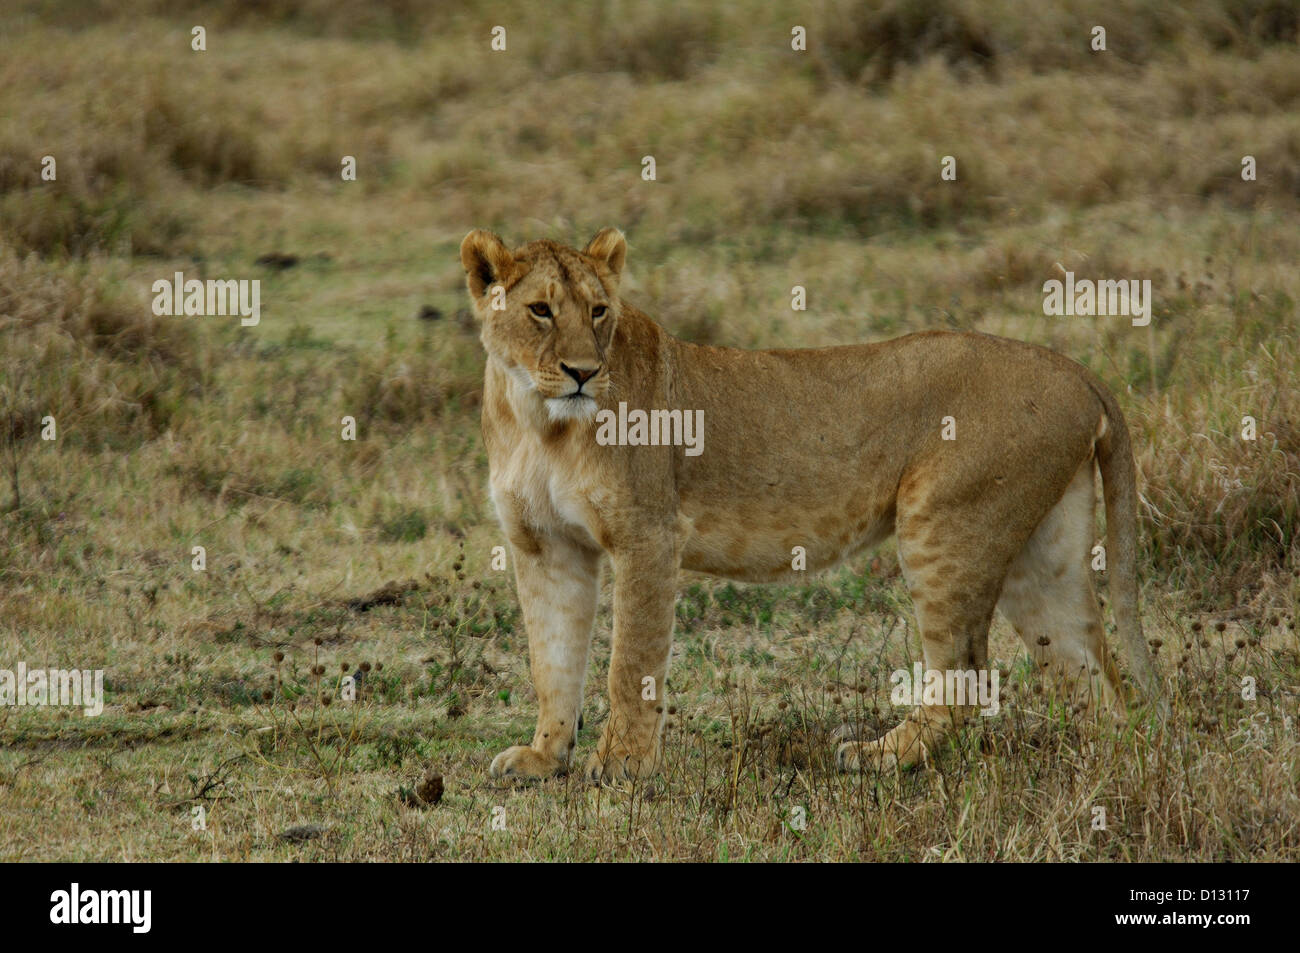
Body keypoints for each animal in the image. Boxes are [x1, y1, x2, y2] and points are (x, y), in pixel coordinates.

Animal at [459, 226, 1163, 782]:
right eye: (541, 310)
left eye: (600, 310)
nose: (583, 372)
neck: (538, 422)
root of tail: (1074, 370)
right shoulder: (545, 545)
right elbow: (551, 657)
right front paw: (544, 758)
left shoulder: (649, 534)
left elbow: (629, 659)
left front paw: (622, 765)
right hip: (1041, 556)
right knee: (1093, 674)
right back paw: (1107, 771)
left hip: (943, 525)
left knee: (964, 677)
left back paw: (879, 756)